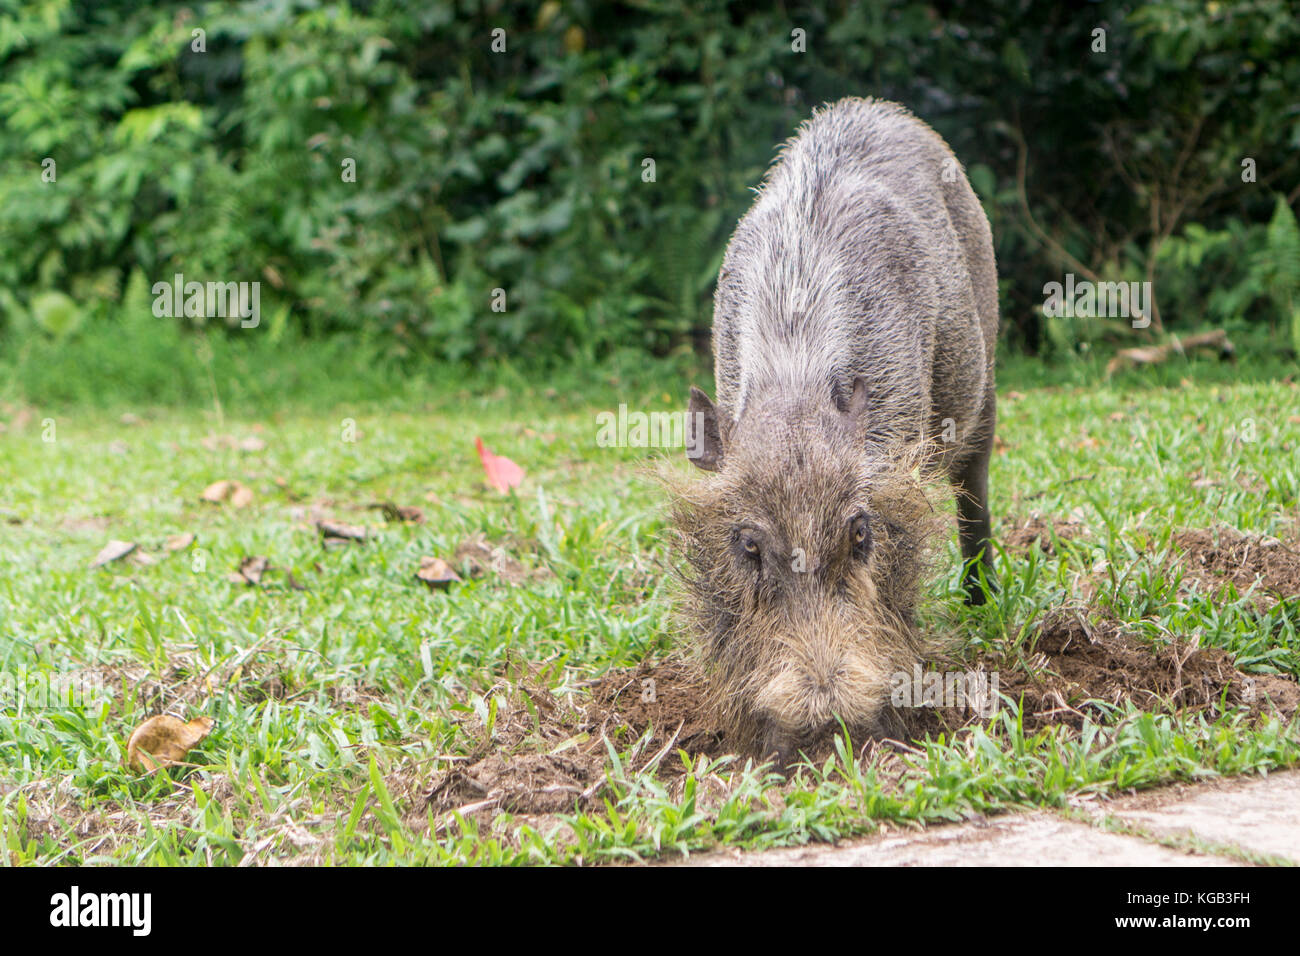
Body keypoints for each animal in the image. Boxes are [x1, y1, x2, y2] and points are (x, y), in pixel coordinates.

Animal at [671, 97, 998, 766]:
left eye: (861, 534)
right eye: (747, 545)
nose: (827, 733)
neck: (794, 377)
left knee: (973, 490)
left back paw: (986, 607)